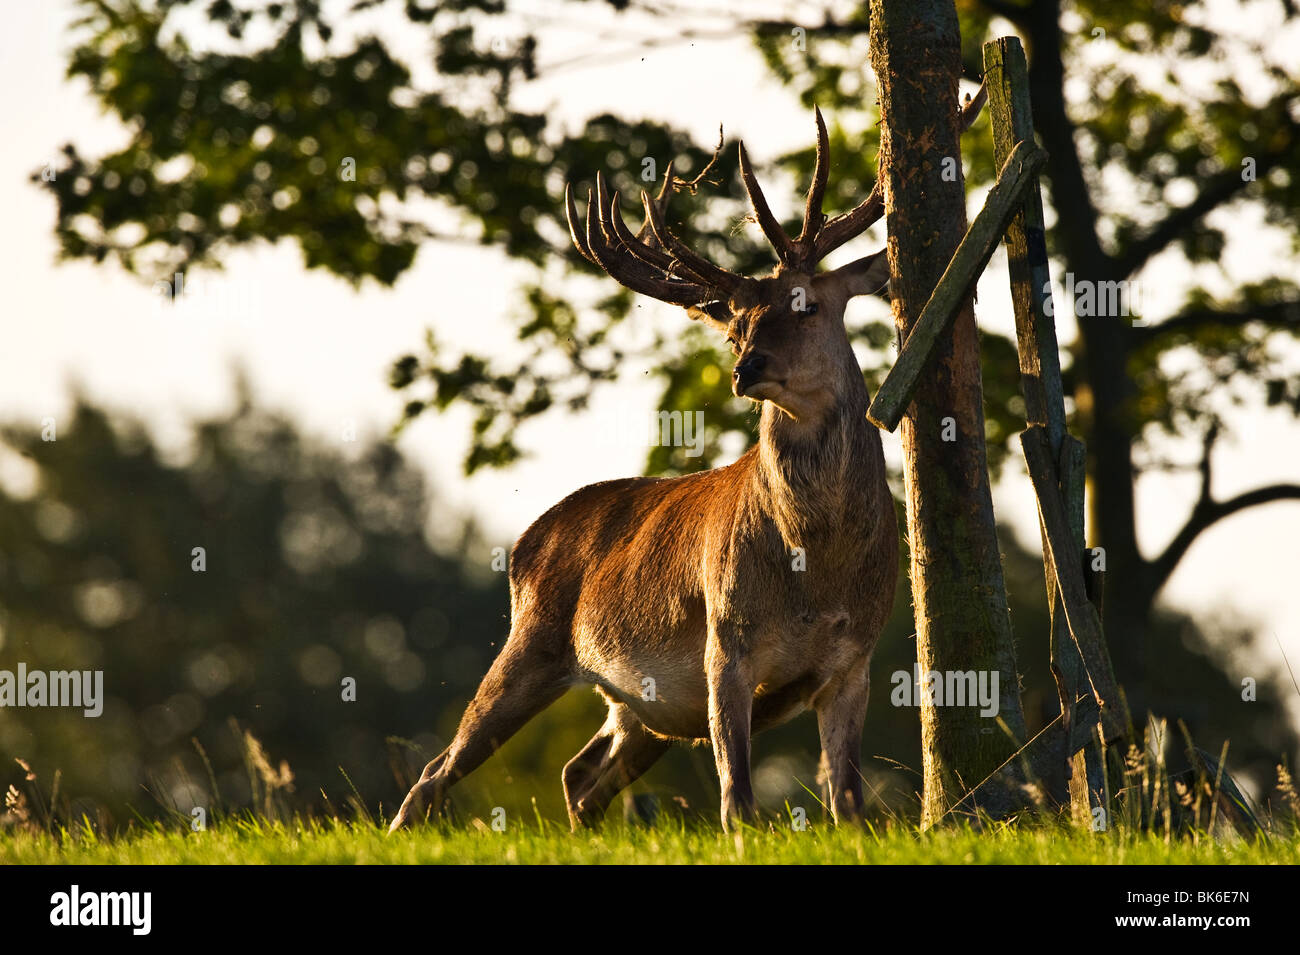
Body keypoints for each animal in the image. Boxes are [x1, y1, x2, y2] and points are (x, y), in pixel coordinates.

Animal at [389, 95, 984, 833]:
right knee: (436, 771)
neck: (815, 567)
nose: (746, 368)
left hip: (640, 711)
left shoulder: (855, 659)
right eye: (736, 326)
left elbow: (846, 799)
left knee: (579, 772)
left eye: (806, 304)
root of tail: (525, 542)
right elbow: (737, 798)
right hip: (533, 642)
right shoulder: (724, 641)